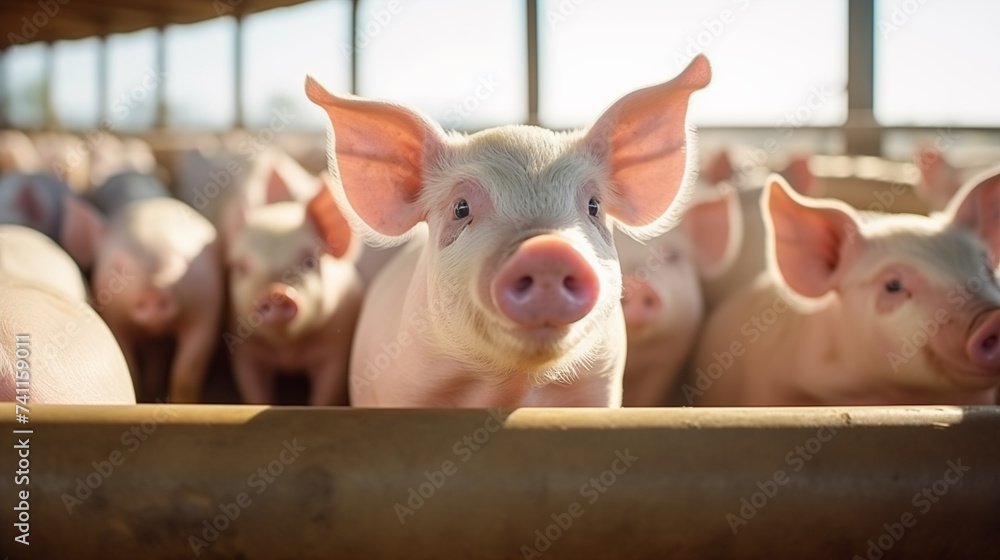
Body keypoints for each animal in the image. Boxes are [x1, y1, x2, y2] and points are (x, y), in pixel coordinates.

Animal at [89, 180, 223, 403]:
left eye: (186, 263)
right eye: (119, 268)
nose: (152, 291)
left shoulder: (207, 311)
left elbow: (187, 371)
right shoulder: (113, 316)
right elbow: (128, 362)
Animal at [225, 164, 362, 405]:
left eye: (309, 262)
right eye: (241, 267)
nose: (276, 292)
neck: (288, 353)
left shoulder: (336, 348)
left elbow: (327, 393)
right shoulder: (246, 351)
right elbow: (254, 392)